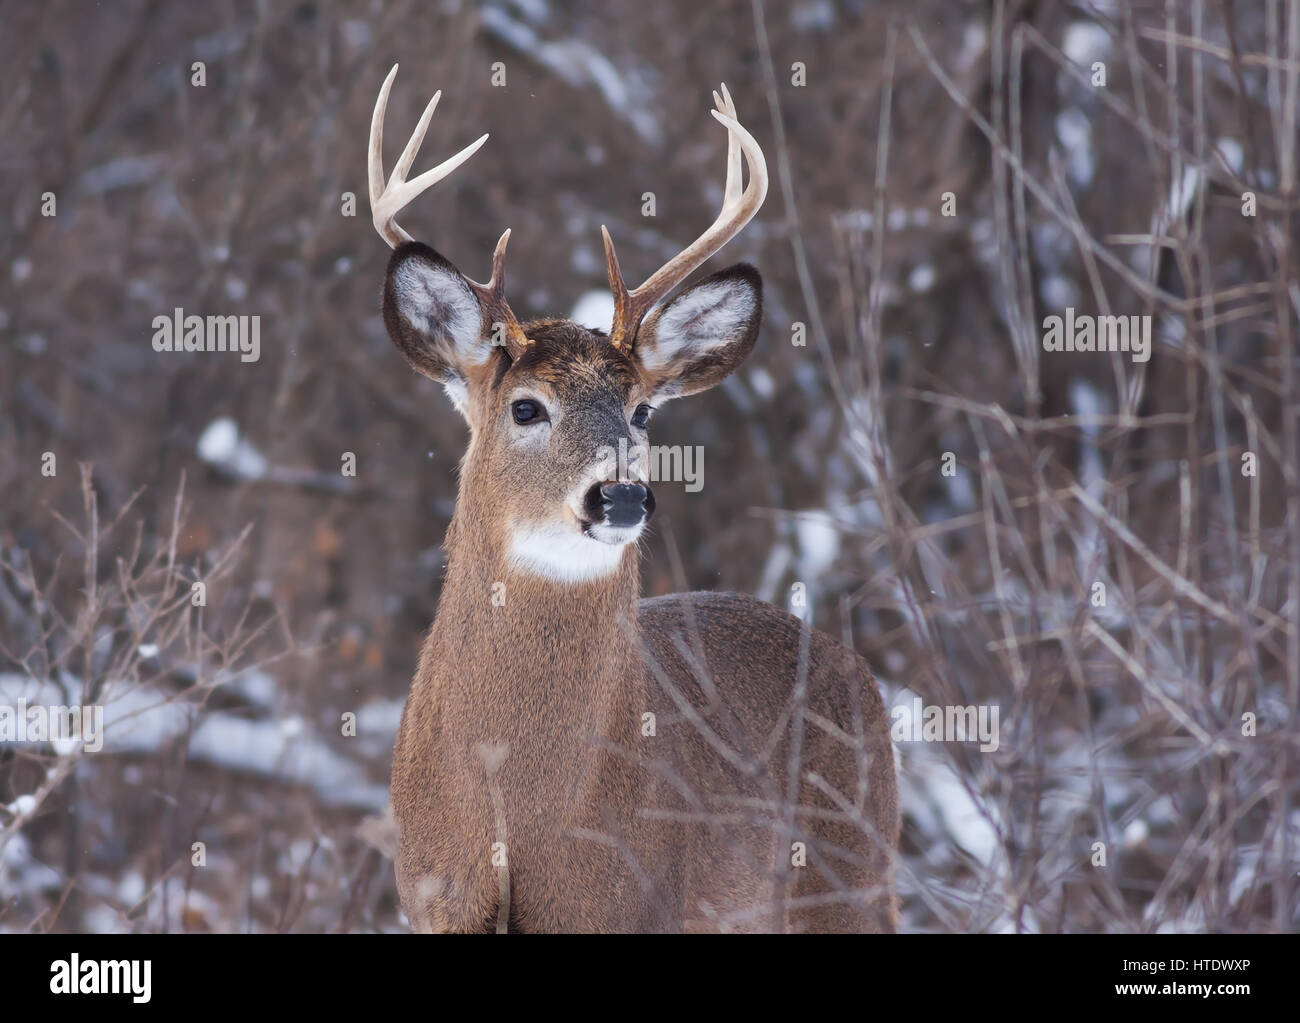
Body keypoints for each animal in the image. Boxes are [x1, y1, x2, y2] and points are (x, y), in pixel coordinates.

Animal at [369, 64, 899, 933]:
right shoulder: (431, 901)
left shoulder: (636, 900)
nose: (619, 496)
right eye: (526, 407)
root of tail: (856, 667)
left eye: (643, 411)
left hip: (850, 872)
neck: (515, 815)